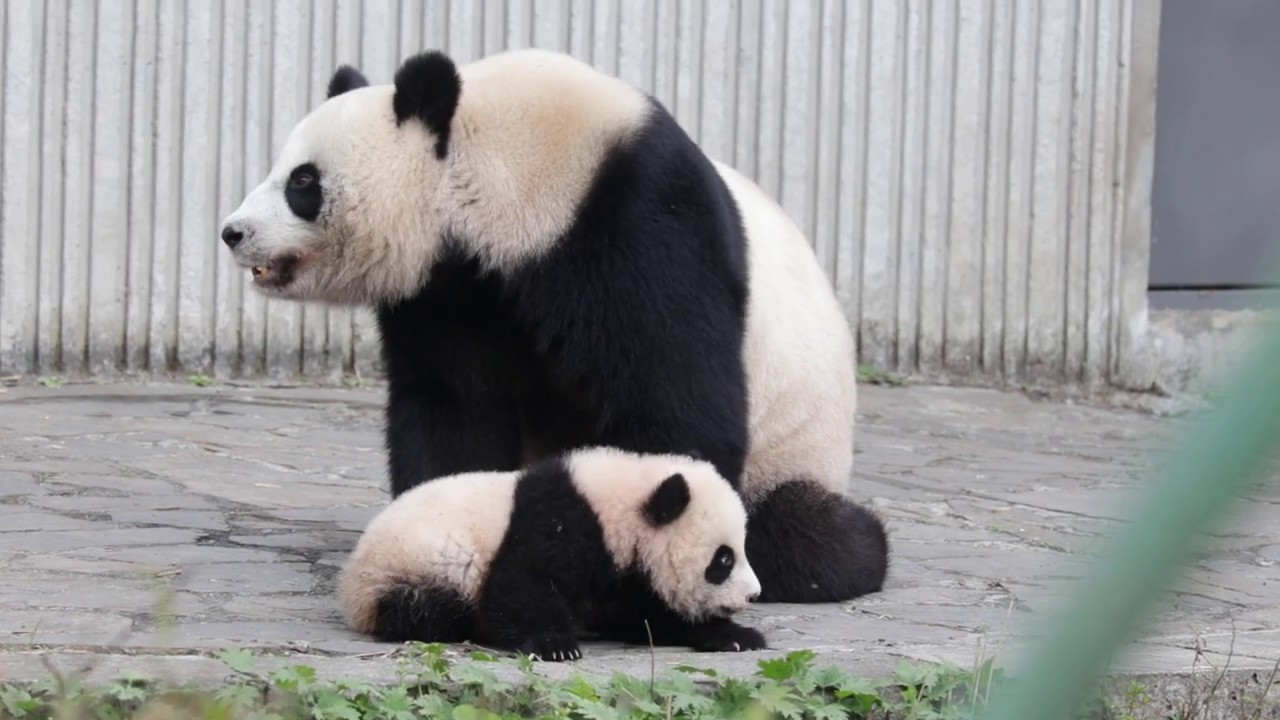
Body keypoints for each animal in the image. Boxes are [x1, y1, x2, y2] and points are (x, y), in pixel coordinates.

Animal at [220, 47, 889, 604]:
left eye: (302, 182)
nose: (232, 231)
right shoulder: (455, 289)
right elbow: (453, 403)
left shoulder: (639, 223)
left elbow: (675, 401)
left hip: (798, 443)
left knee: (803, 531)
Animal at [338, 446, 767, 660]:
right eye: (723, 560)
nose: (753, 595)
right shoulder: (558, 522)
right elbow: (519, 586)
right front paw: (555, 645)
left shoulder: (625, 572)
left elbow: (644, 615)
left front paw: (736, 636)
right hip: (414, 564)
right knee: (429, 609)